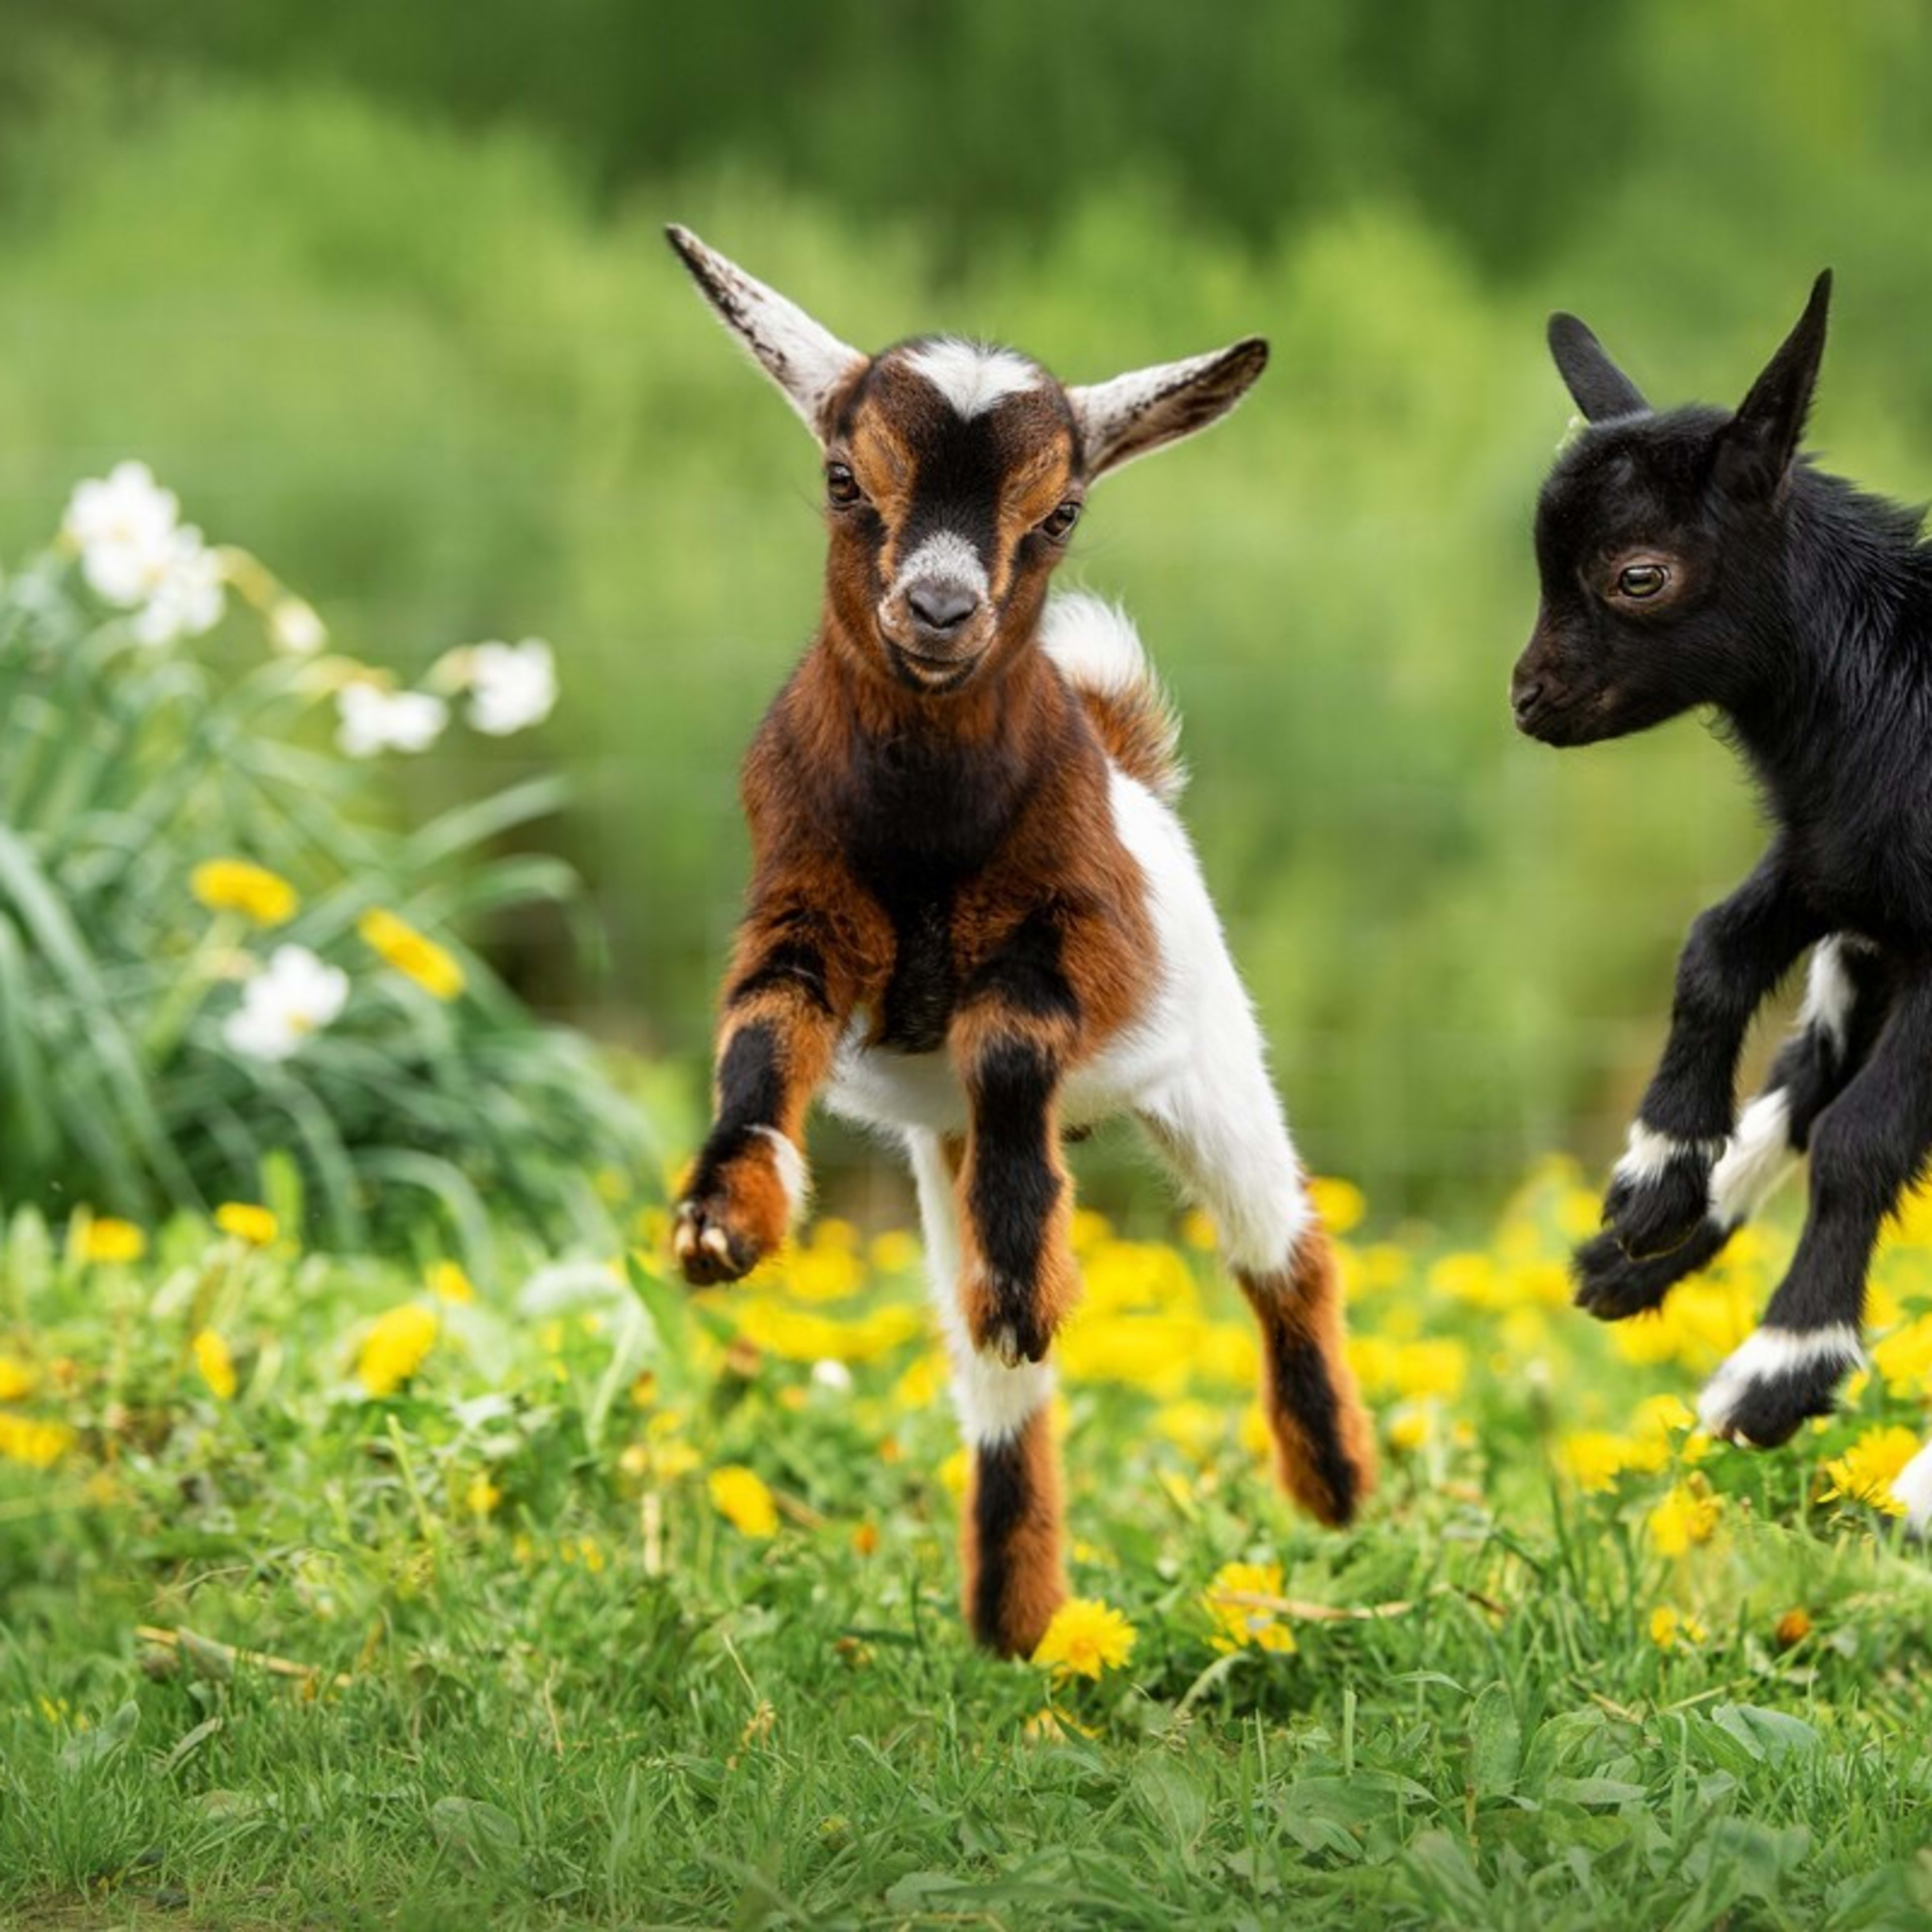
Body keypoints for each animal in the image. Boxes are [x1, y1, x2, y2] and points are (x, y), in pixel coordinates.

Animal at [664, 226, 1375, 1654]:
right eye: (843, 478)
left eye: (1060, 514)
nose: (939, 610)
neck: (931, 823)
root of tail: (1128, 758)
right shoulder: (805, 908)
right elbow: (759, 1038)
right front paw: (723, 1221)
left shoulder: (1077, 938)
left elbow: (1007, 1037)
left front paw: (1032, 1283)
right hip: (935, 1154)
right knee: (997, 1388)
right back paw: (1018, 1616)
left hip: (1214, 1071)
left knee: (1284, 1249)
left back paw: (1330, 1483)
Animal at [1514, 272, 1932, 1522]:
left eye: (1638, 574)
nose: (1529, 699)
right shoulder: (1838, 870)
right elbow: (1711, 951)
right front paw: (1655, 1177)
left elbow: (1862, 1137)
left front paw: (1778, 1376)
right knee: (1802, 1071)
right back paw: (1634, 1255)